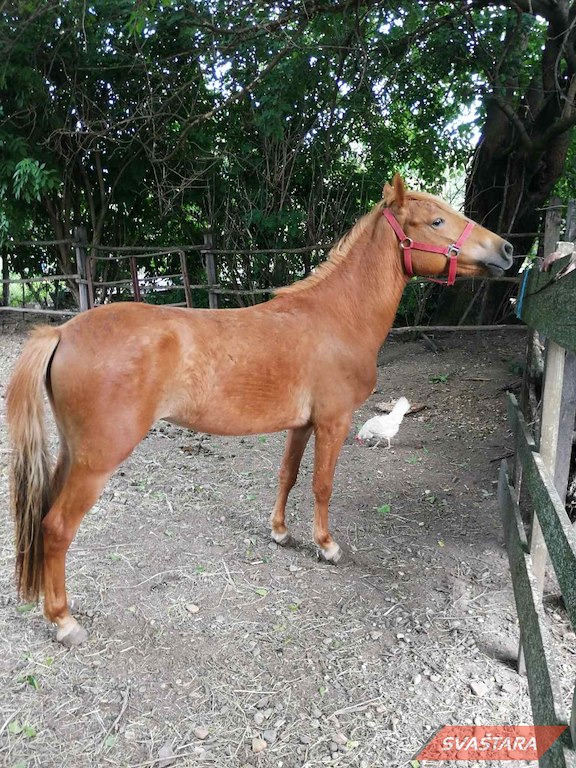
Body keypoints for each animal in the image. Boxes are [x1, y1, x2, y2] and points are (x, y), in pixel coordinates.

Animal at [5, 172, 512, 640]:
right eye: (437, 221)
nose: (506, 250)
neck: (337, 317)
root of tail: (62, 332)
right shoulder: (334, 422)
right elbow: (323, 486)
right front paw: (326, 546)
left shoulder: (301, 424)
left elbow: (287, 475)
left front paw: (281, 532)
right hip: (98, 461)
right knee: (56, 528)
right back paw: (63, 621)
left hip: (74, 454)